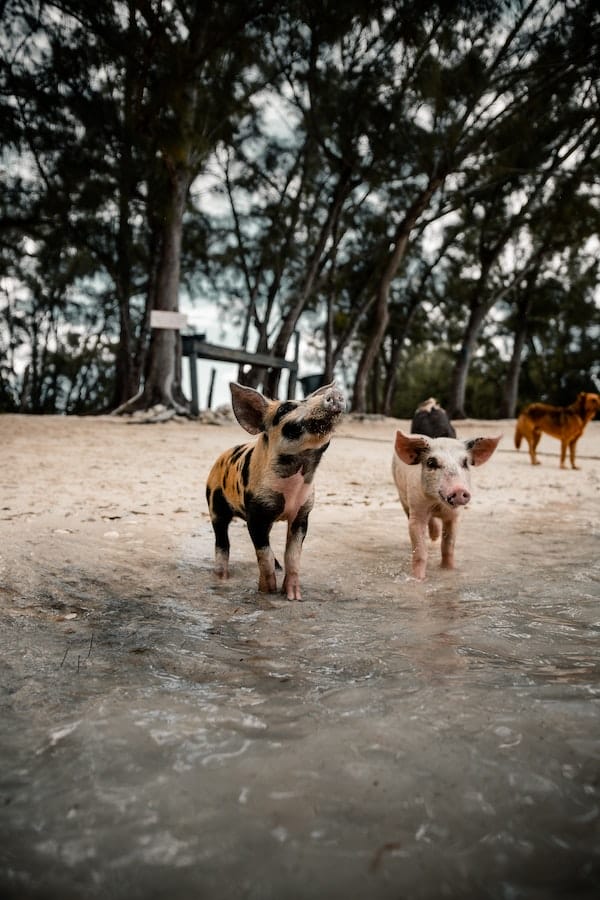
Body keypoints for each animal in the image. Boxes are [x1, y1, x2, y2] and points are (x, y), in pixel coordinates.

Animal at [206, 381, 345, 600]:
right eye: (285, 409)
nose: (335, 393)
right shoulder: (257, 513)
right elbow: (264, 554)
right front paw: (267, 592)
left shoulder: (302, 514)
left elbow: (293, 555)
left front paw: (294, 596)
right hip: (215, 504)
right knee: (222, 543)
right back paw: (221, 578)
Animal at [392, 430, 501, 580]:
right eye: (431, 462)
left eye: (465, 463)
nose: (459, 490)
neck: (438, 504)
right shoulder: (417, 510)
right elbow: (420, 551)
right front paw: (418, 579)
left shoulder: (454, 516)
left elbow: (448, 546)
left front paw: (448, 570)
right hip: (402, 495)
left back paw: (435, 536)